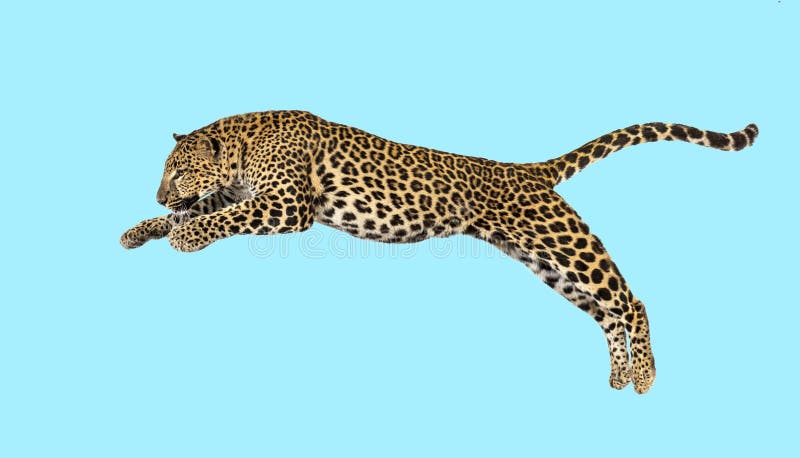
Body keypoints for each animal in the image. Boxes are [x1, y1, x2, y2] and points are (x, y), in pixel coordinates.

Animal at [120, 110, 758, 394]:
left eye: (177, 171)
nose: (158, 190)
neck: (243, 144)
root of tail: (525, 170)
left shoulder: (287, 205)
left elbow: (218, 217)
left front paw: (180, 233)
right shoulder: (247, 195)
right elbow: (202, 211)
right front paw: (142, 228)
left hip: (565, 242)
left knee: (631, 300)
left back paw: (646, 375)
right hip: (546, 262)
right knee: (605, 311)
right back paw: (620, 374)